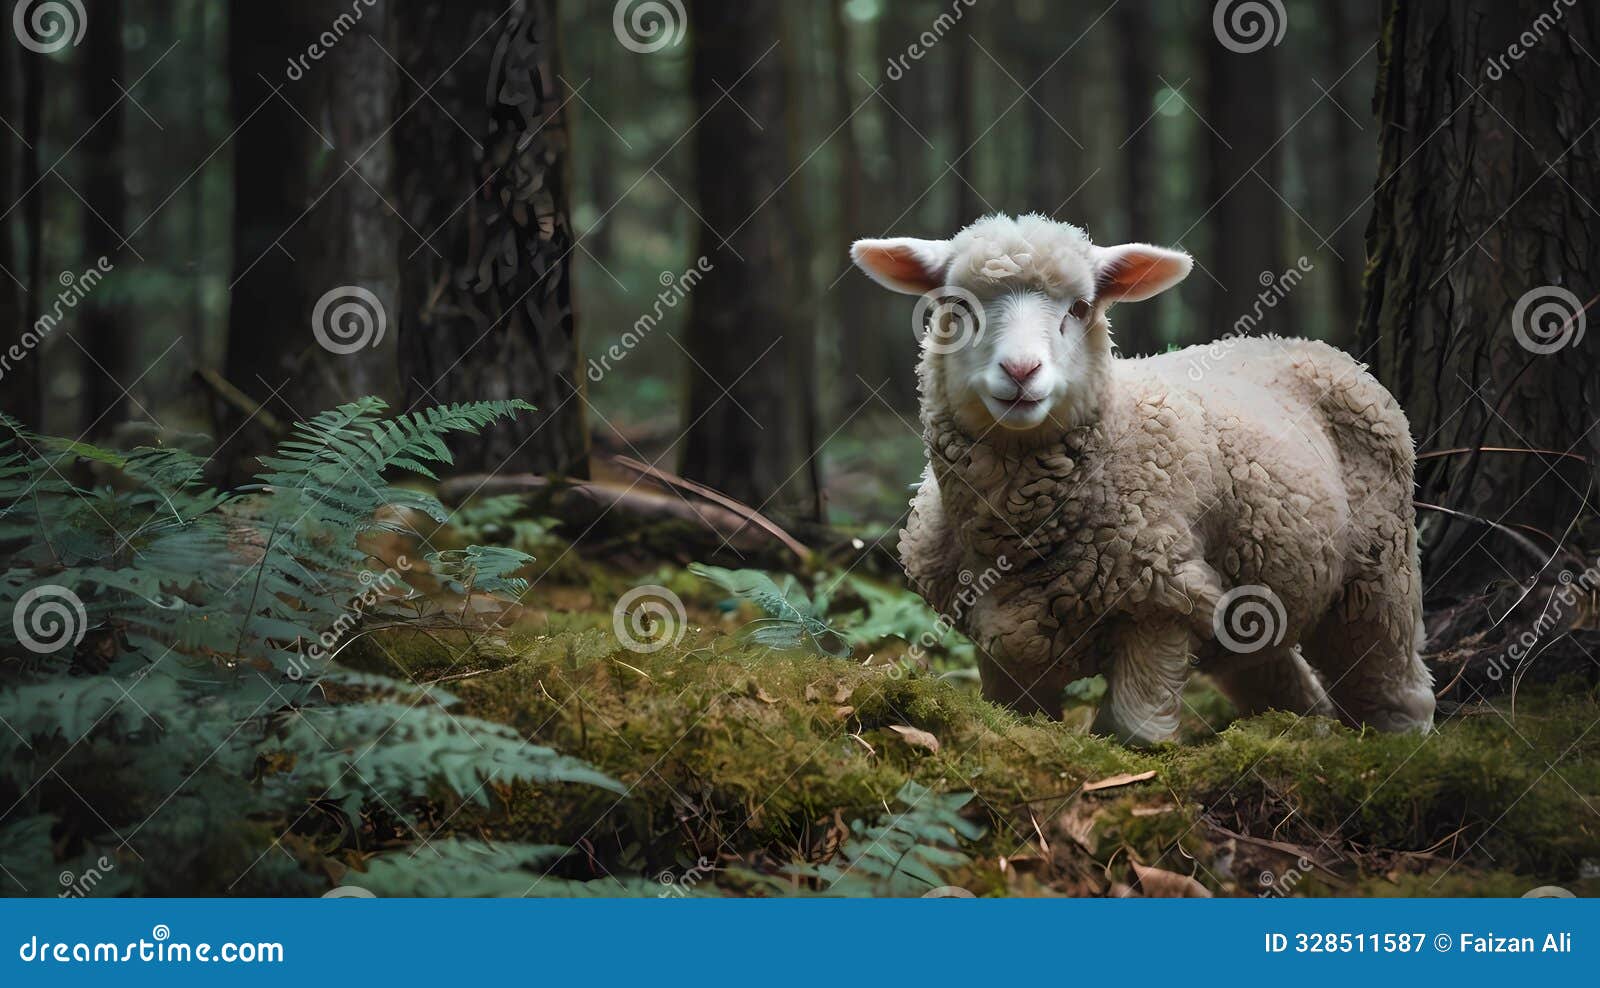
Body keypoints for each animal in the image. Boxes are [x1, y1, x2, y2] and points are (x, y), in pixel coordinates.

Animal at [852, 212, 1434, 744]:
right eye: (958, 306)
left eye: (1079, 308)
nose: (1021, 372)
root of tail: (1313, 346)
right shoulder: (1002, 637)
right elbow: (1015, 723)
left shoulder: (1162, 602)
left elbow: (1135, 734)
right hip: (1257, 609)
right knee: (1283, 681)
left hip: (1381, 566)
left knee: (1392, 678)